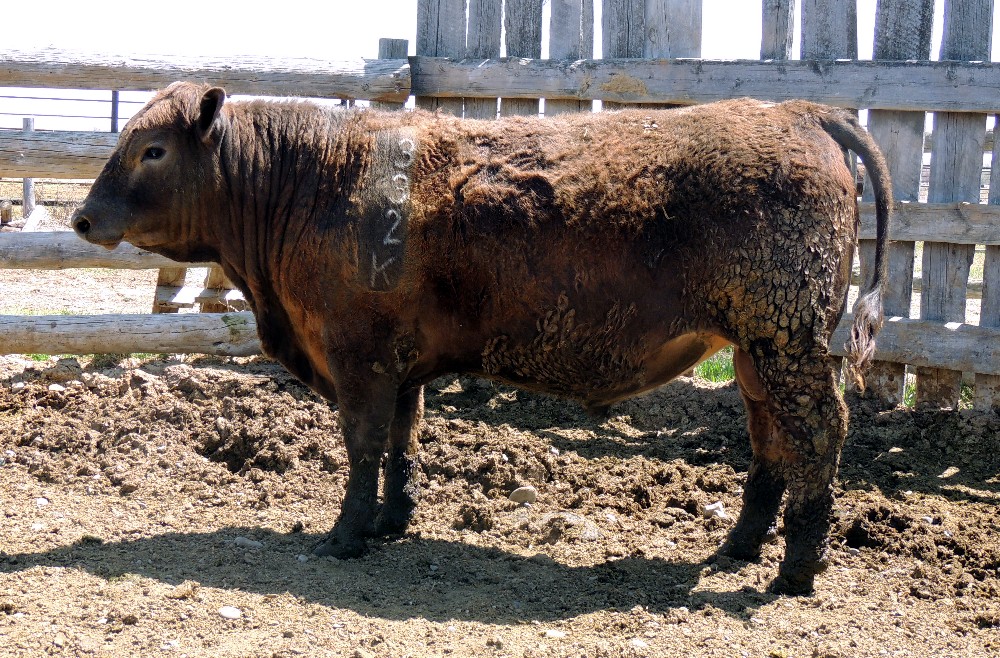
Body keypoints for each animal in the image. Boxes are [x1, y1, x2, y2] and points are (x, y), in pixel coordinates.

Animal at [72, 82, 892, 595]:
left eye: (152, 150)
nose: (82, 217)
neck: (314, 179)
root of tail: (799, 112)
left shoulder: (358, 358)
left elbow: (363, 445)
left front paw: (345, 534)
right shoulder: (401, 366)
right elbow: (402, 440)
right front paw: (393, 520)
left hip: (787, 341)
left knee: (818, 432)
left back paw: (794, 571)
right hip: (758, 350)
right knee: (769, 438)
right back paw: (741, 545)